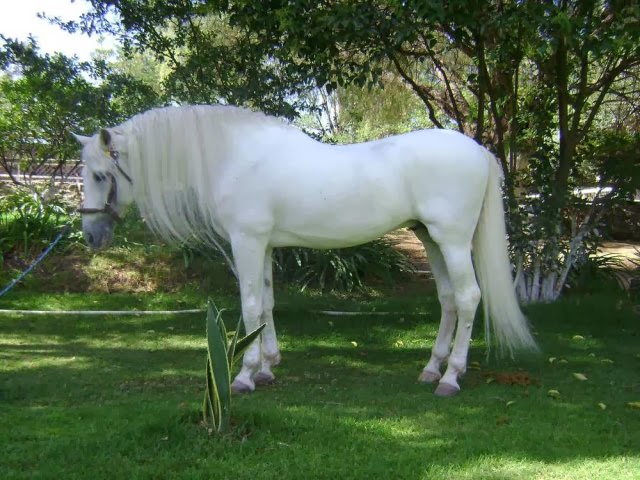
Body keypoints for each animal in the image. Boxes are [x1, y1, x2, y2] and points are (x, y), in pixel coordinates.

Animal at [74, 105, 537, 397]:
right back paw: (431, 369)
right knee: (448, 300)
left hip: (452, 240)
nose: (91, 235)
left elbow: (250, 305)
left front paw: (245, 375)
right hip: (430, 239)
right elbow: (265, 304)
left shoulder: (246, 241)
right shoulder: (262, 245)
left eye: (99, 174)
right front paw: (266, 367)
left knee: (469, 297)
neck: (234, 158)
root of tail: (480, 151)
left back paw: (451, 378)